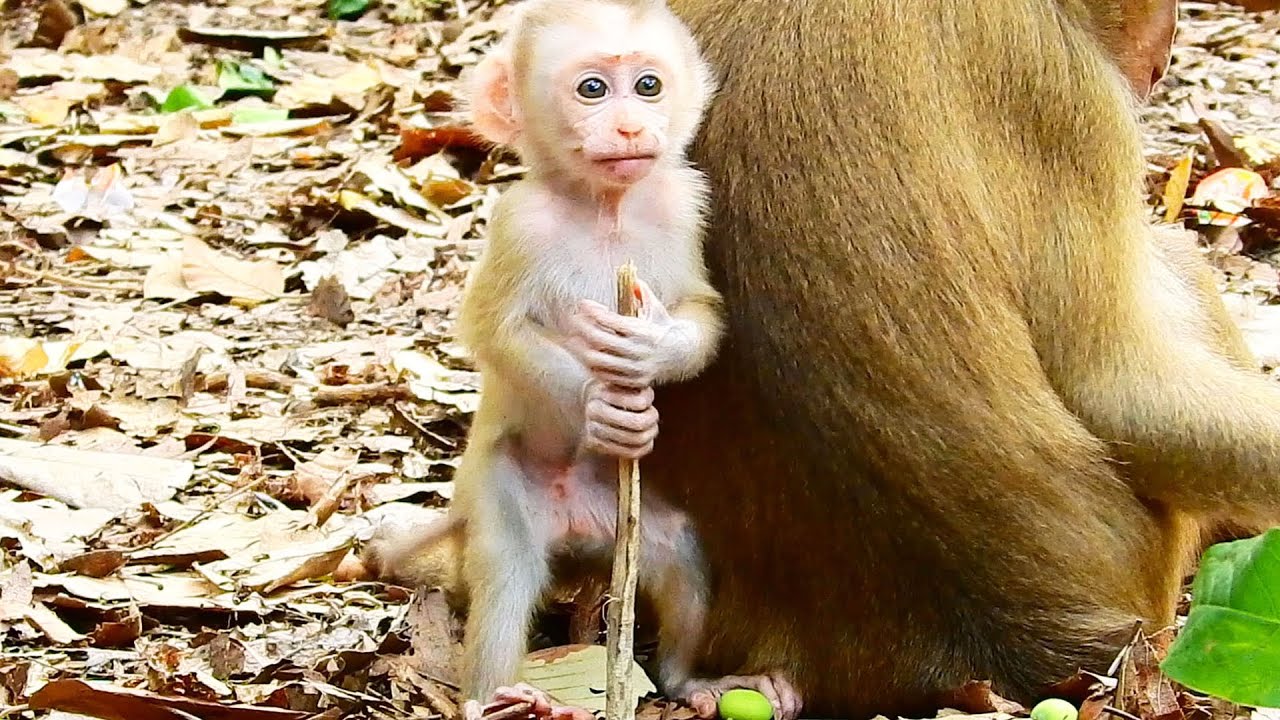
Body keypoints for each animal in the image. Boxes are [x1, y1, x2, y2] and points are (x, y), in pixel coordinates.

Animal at [364, 1, 803, 717]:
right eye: (592, 88)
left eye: (648, 85)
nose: (629, 125)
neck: (606, 210)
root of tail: (573, 525)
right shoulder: (519, 224)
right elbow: (494, 332)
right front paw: (601, 407)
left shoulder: (684, 205)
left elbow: (702, 311)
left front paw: (654, 346)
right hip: (503, 487)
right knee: (508, 572)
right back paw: (493, 697)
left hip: (616, 517)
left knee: (677, 551)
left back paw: (690, 681)